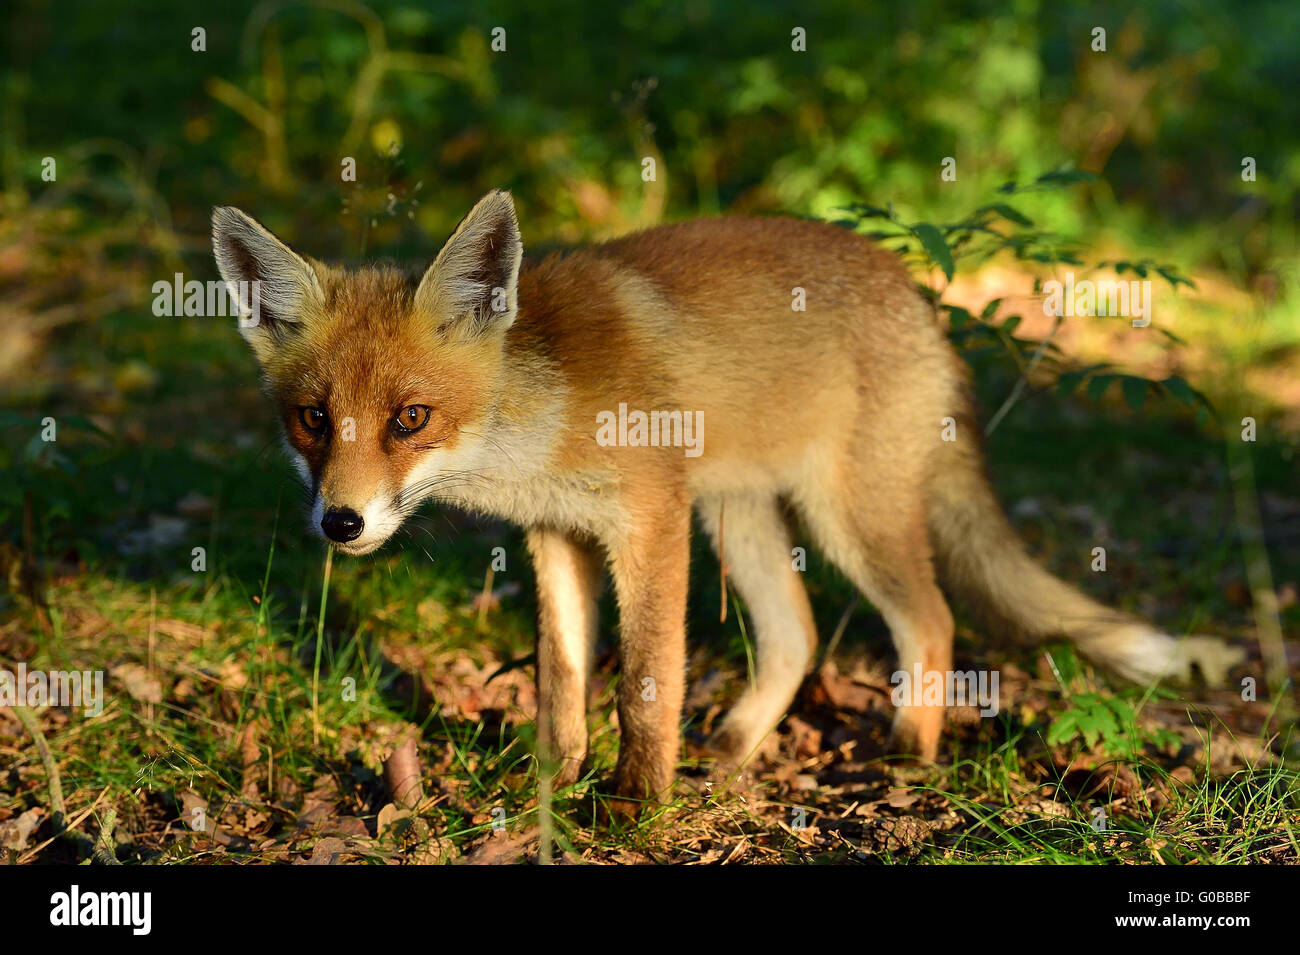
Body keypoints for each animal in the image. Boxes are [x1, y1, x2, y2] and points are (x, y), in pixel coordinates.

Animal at [212, 190, 1242, 809]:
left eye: (411, 418)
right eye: (313, 419)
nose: (340, 522)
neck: (536, 424)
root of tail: (918, 296)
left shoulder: (650, 520)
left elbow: (645, 682)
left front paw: (633, 806)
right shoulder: (559, 535)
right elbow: (563, 678)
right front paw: (552, 781)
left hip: (843, 517)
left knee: (932, 618)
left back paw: (909, 750)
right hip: (742, 517)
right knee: (794, 633)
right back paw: (741, 747)